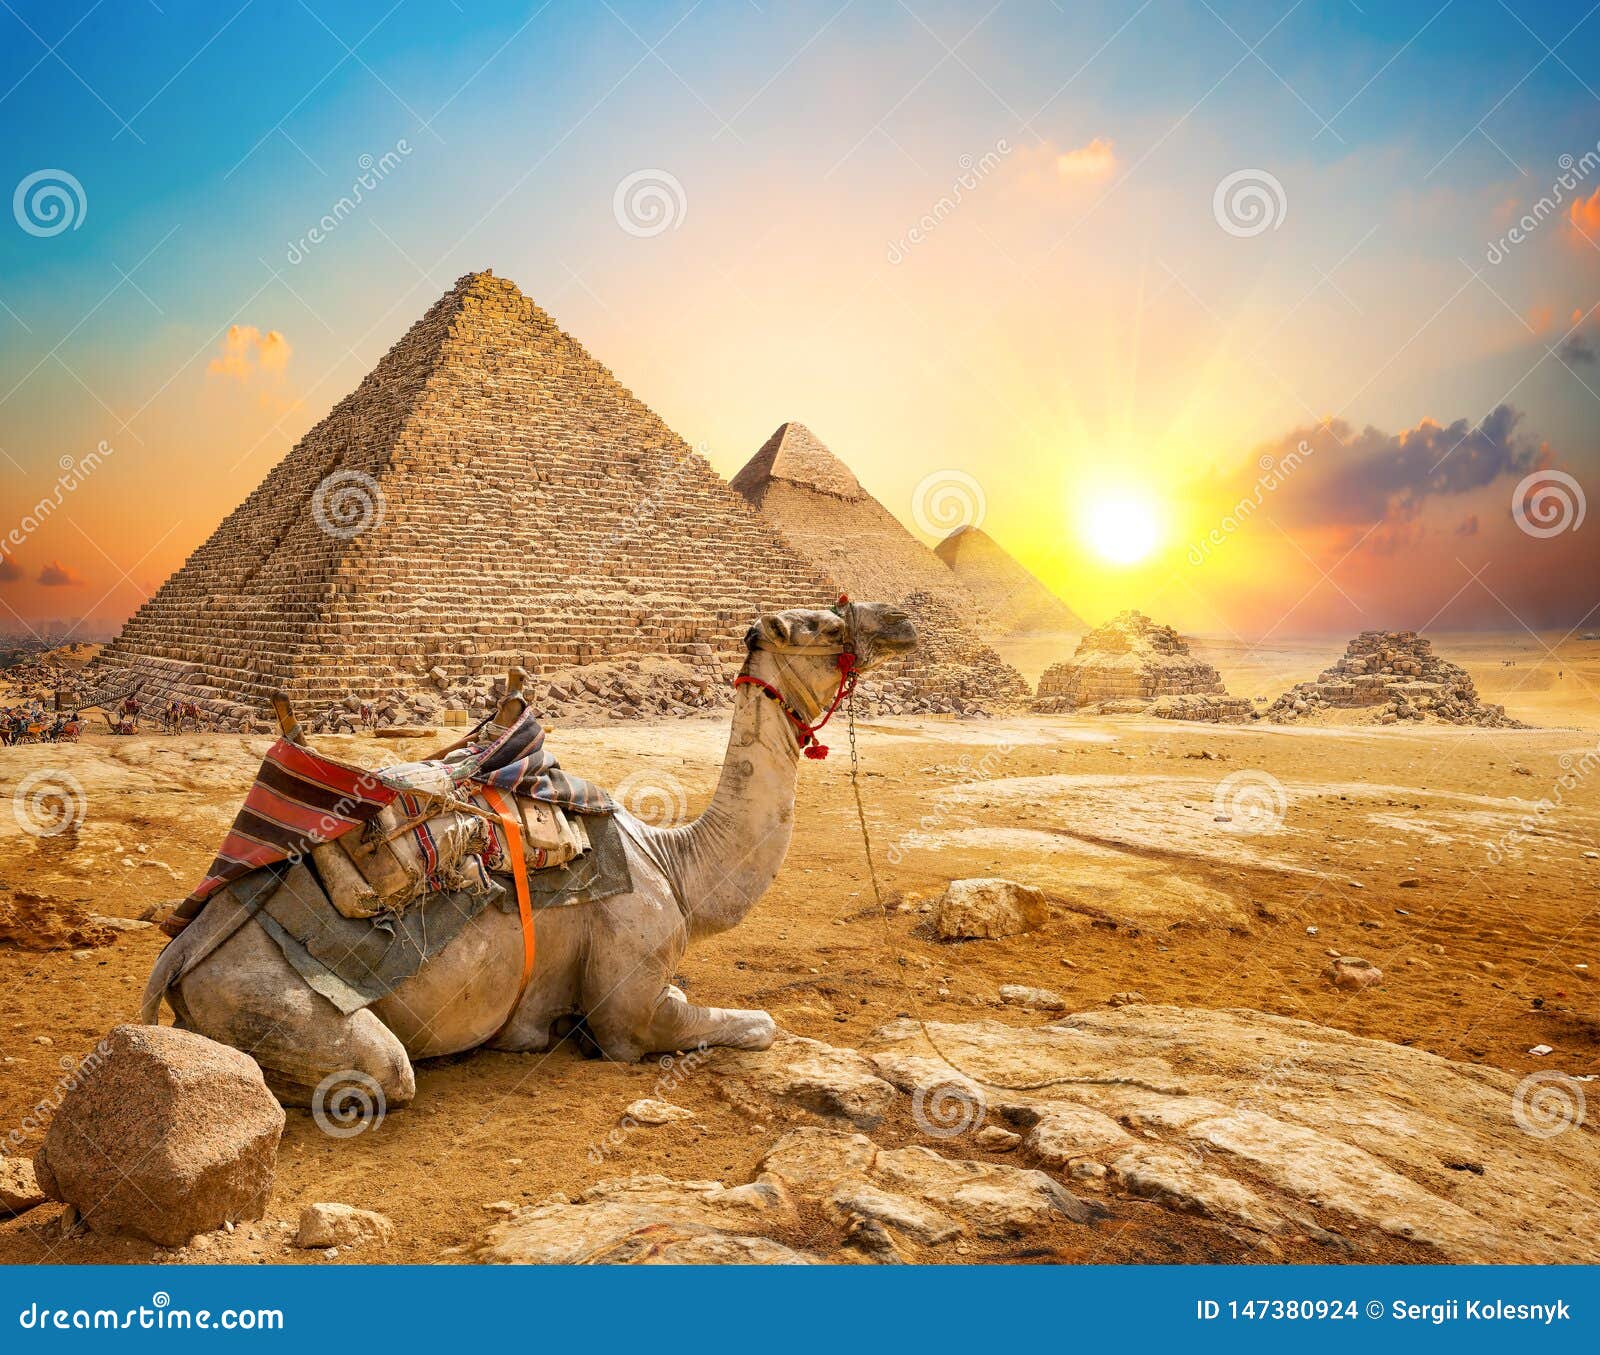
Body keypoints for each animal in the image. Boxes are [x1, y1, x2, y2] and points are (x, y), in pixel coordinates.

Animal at [142, 602, 916, 1110]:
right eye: (829, 628)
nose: (903, 622)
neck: (676, 863)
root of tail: (179, 952)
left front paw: (535, 1031)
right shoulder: (630, 1010)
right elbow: (755, 1025)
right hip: (268, 997)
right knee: (383, 1072)